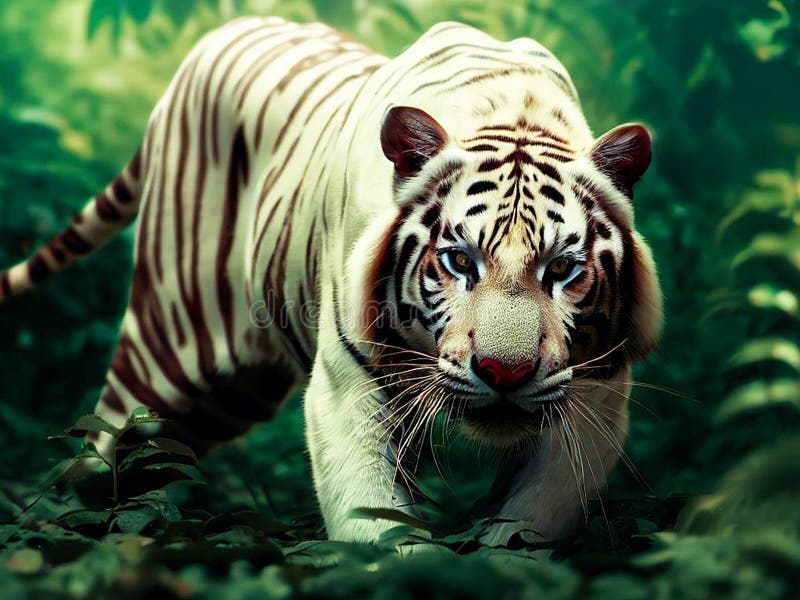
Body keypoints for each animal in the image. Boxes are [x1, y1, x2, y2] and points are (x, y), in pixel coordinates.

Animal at [0, 16, 662, 545]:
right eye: (458, 261)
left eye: (563, 270)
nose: (504, 373)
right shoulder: (347, 385)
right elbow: (376, 524)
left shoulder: (595, 396)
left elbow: (526, 524)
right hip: (161, 348)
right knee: (105, 451)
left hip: (230, 395)